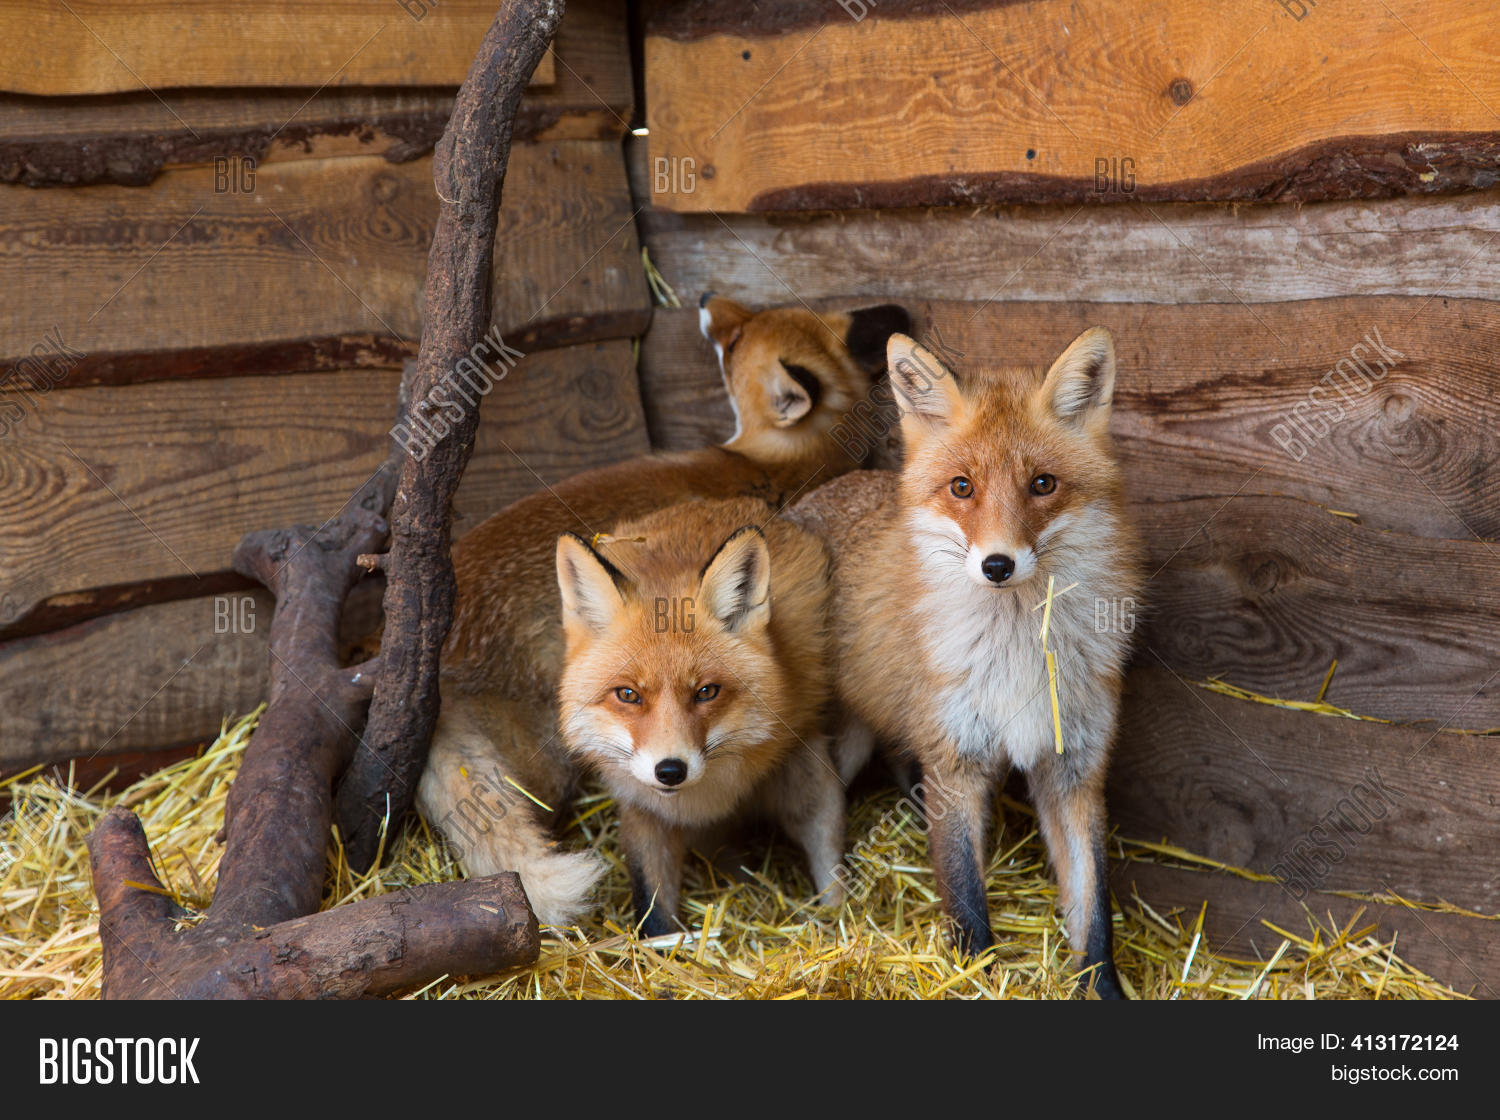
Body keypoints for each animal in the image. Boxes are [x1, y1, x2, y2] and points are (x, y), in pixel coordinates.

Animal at [555, 497, 842, 935]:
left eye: (706, 692)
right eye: (628, 695)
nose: (670, 771)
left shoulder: (805, 762)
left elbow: (828, 859)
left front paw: (840, 917)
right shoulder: (642, 808)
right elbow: (653, 906)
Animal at [790, 326, 1142, 999]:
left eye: (1042, 484)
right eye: (962, 487)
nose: (997, 564)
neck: (1016, 652)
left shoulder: (1074, 769)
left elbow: (1094, 913)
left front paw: (1103, 988)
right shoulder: (955, 765)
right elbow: (967, 904)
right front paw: (974, 975)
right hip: (841, 749)